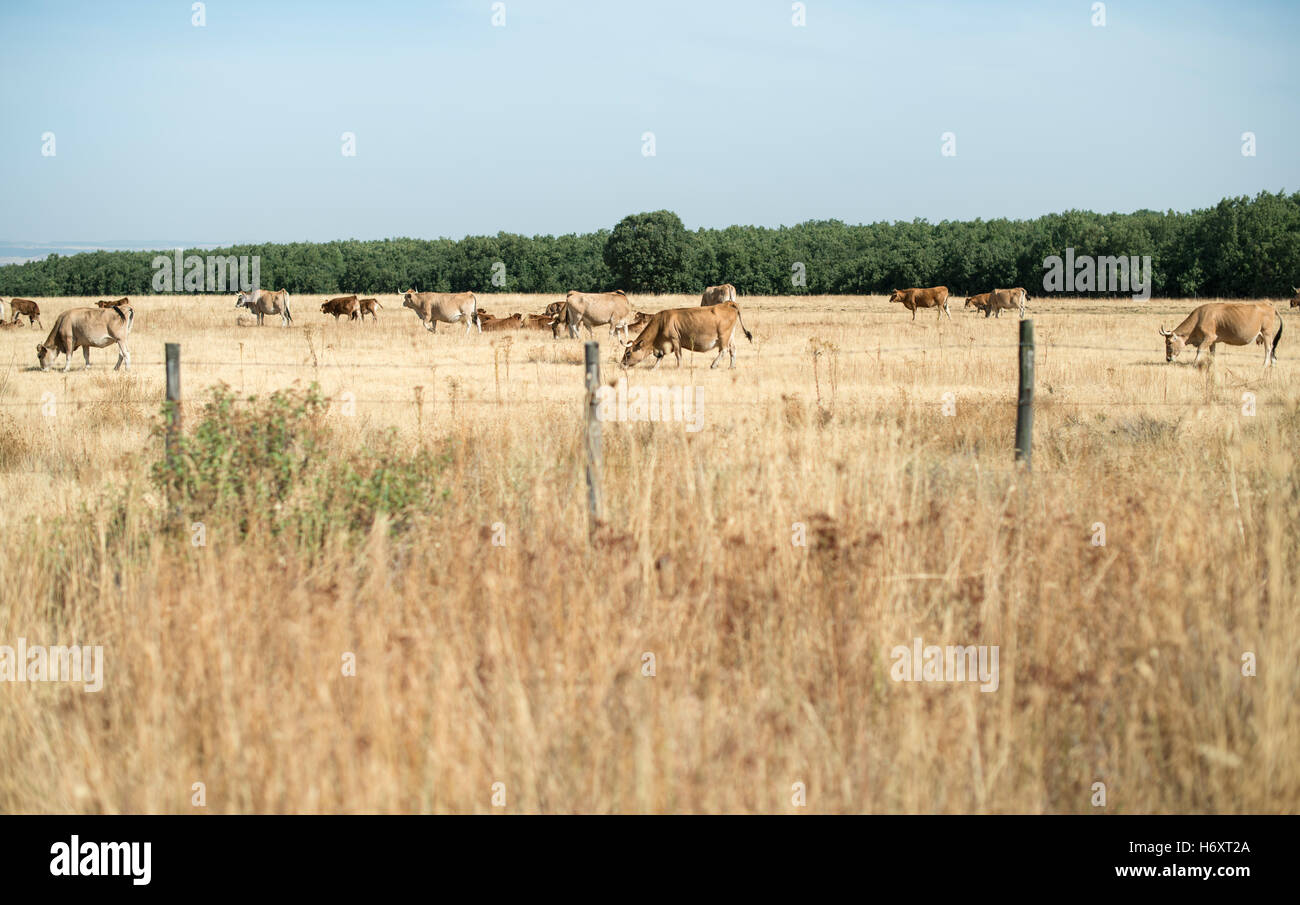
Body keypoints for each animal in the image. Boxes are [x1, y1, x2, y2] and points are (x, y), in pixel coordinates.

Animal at [620, 301, 753, 369]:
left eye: (628, 353)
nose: (621, 365)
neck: (662, 322)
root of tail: (728, 303)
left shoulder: (675, 340)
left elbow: (678, 355)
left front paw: (679, 367)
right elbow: (660, 357)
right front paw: (654, 368)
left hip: (723, 336)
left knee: (724, 350)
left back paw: (714, 364)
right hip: (731, 336)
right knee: (733, 350)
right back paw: (731, 367)